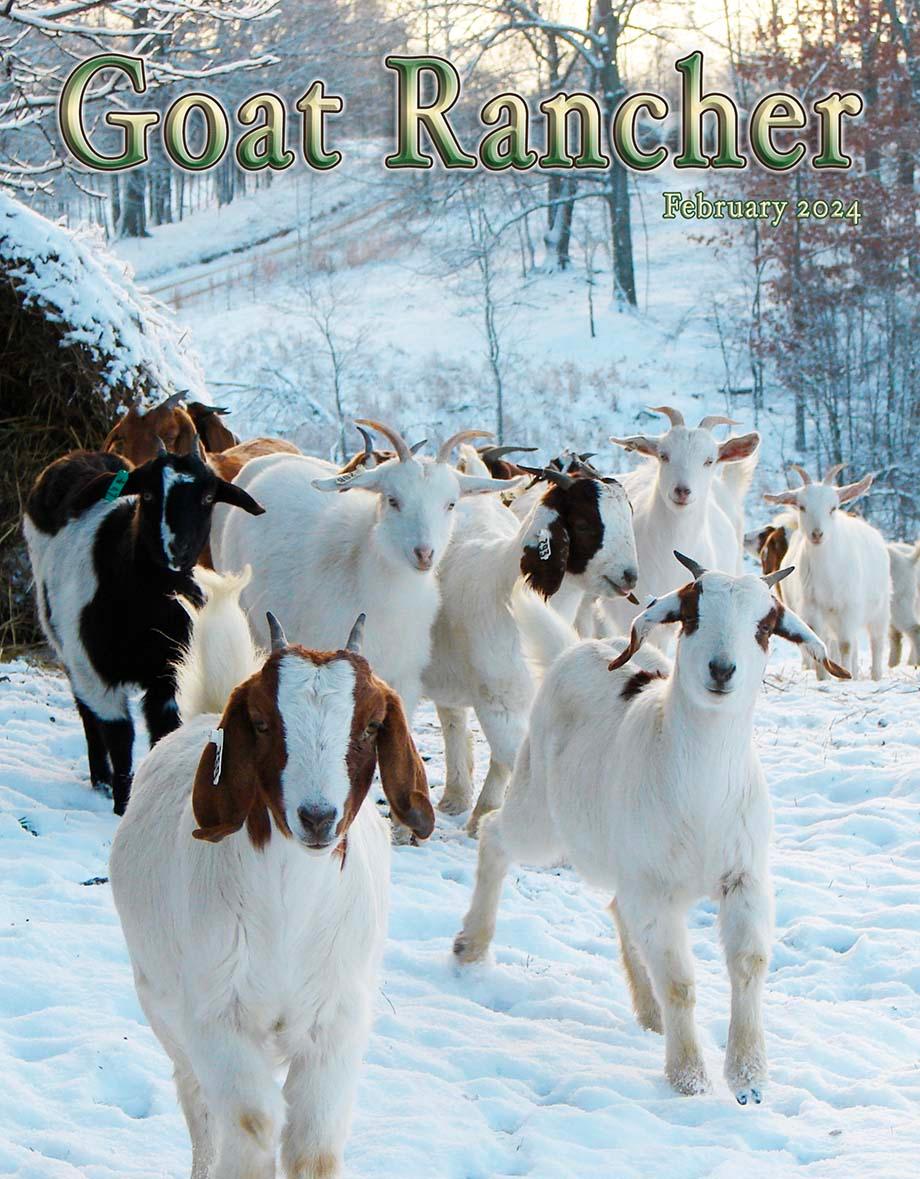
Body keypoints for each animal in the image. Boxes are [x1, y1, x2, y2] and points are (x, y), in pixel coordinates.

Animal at [23, 445, 263, 814]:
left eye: (208, 497)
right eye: (148, 494)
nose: (176, 549)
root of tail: (79, 455)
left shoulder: (168, 676)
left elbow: (162, 729)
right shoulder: (96, 671)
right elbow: (120, 738)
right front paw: (122, 802)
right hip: (69, 650)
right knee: (87, 715)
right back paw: (100, 779)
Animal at [109, 572, 433, 1179]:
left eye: (372, 724)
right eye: (261, 722)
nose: (317, 816)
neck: (289, 916)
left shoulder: (336, 1022)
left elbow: (313, 1147)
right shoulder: (219, 1018)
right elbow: (251, 1125)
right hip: (162, 1004)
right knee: (196, 1101)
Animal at [424, 464, 638, 832]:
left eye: (628, 514)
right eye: (584, 523)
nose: (629, 576)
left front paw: (482, 815)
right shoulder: (500, 703)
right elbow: (512, 756)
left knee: (452, 718)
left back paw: (456, 796)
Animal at [454, 551, 848, 1102]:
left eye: (764, 626)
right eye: (692, 615)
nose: (721, 669)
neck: (701, 790)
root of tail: (577, 647)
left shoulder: (744, 877)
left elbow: (749, 964)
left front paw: (748, 1078)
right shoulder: (656, 889)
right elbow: (680, 982)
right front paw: (689, 1077)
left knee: (620, 908)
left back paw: (649, 1011)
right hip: (543, 814)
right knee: (495, 834)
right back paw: (471, 945)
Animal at [763, 463, 889, 678]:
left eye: (833, 508)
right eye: (802, 507)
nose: (817, 534)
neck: (827, 577)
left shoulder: (849, 608)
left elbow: (846, 644)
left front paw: (846, 678)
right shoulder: (812, 609)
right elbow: (819, 643)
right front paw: (823, 678)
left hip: (879, 612)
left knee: (876, 642)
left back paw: (875, 675)